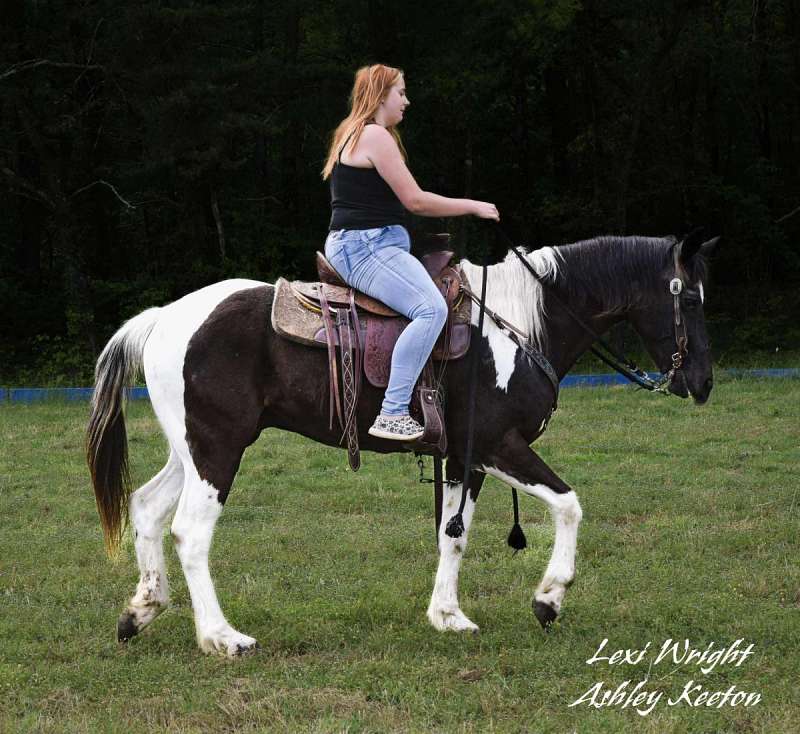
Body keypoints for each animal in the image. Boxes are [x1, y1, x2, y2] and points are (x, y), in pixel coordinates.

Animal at [87, 229, 716, 656]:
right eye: (690, 300)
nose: (704, 382)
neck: (517, 324)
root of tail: (164, 316)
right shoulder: (497, 445)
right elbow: (568, 504)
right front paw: (548, 598)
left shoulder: (463, 458)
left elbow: (452, 537)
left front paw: (447, 616)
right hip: (219, 448)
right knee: (190, 533)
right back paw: (222, 636)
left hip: (189, 451)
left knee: (146, 508)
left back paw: (140, 611)